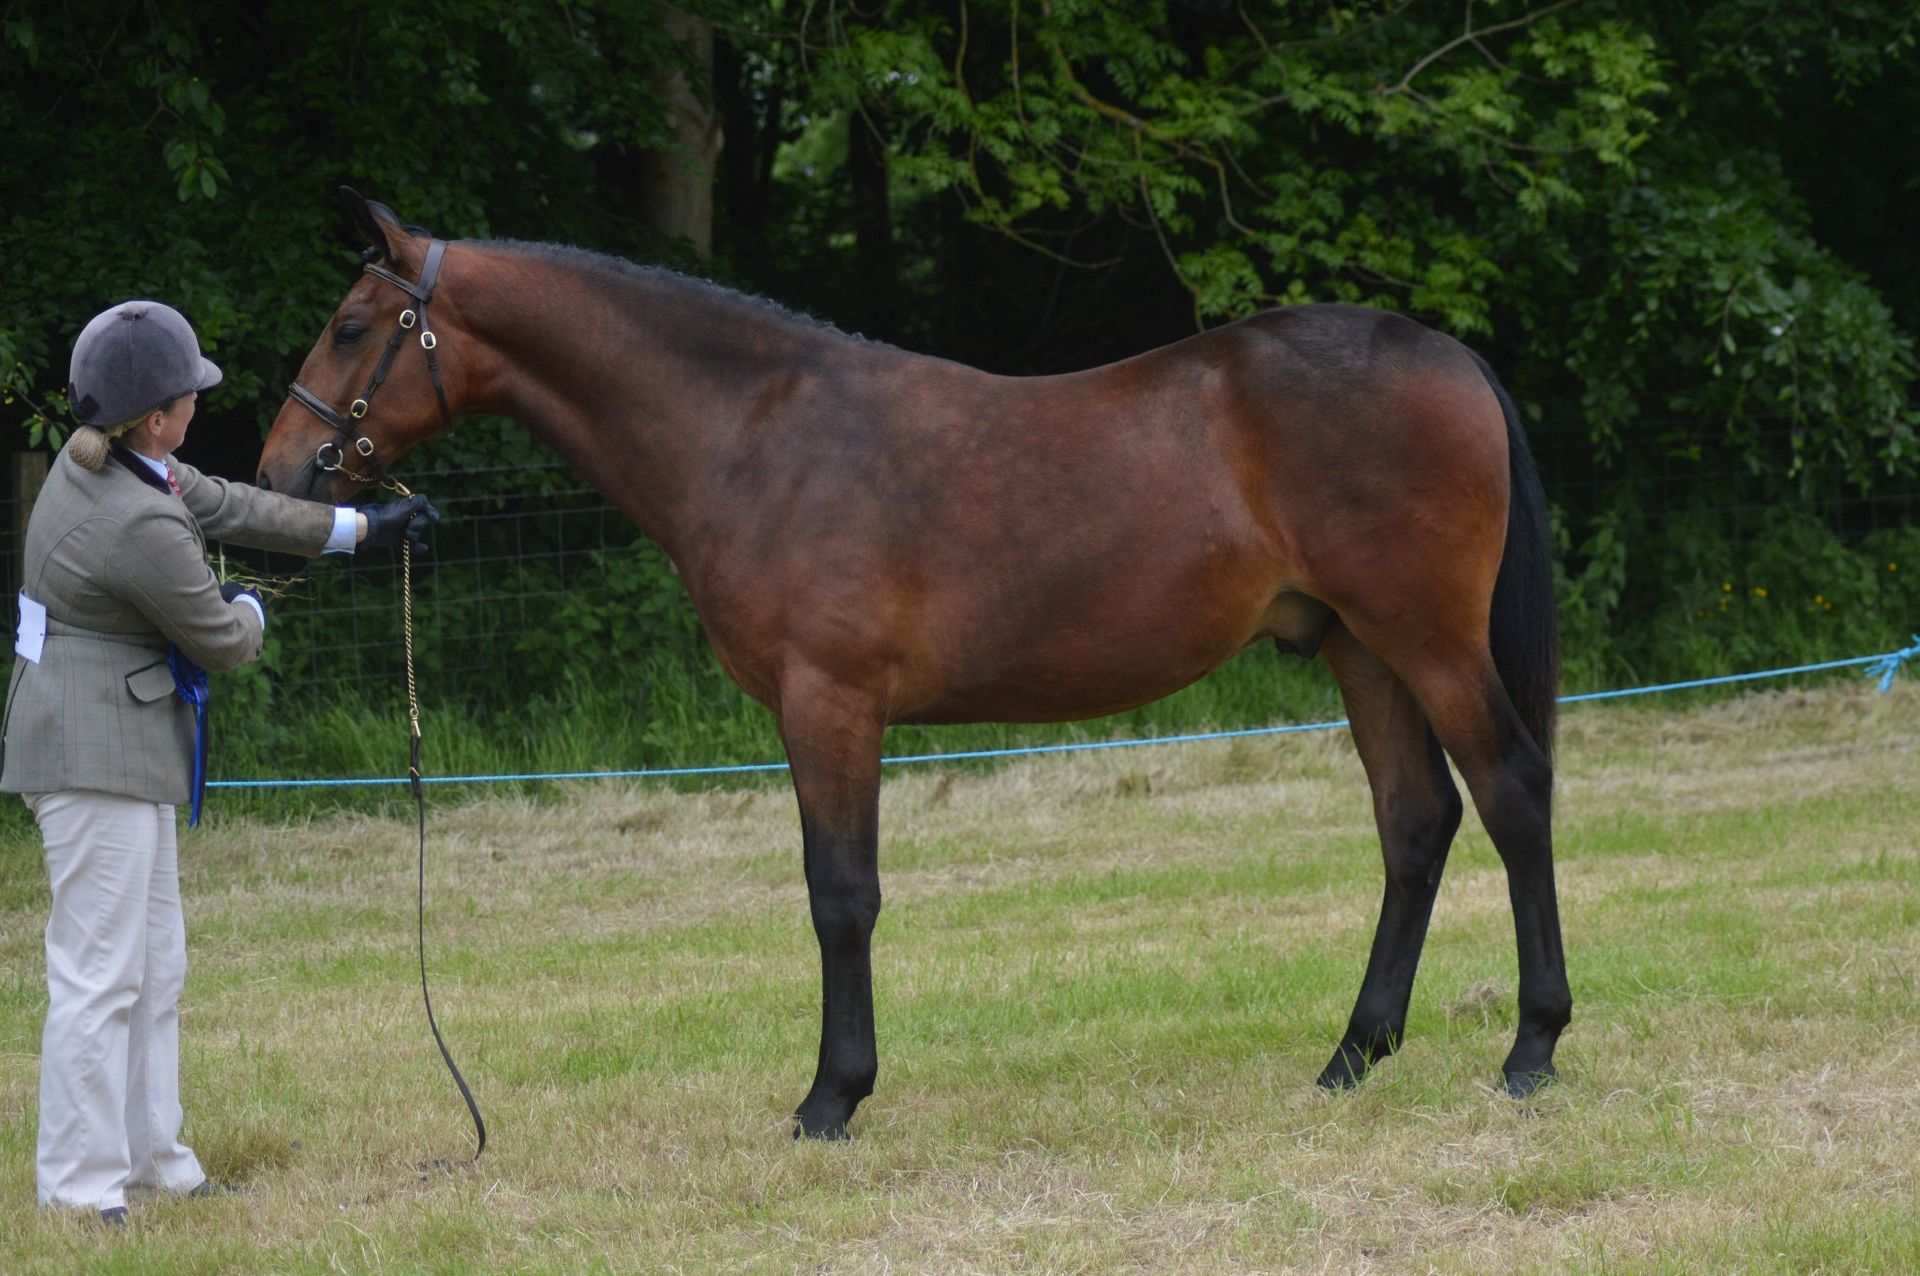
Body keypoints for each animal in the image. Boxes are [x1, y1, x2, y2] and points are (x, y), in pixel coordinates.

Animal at [256, 190, 1569, 1139]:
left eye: (354, 326)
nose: (276, 475)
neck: (757, 434)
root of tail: (1448, 355)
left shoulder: (828, 703)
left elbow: (841, 893)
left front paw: (831, 1097)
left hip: (1426, 641)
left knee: (1511, 794)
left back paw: (1531, 1049)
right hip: (1360, 647)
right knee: (1415, 821)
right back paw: (1353, 1055)